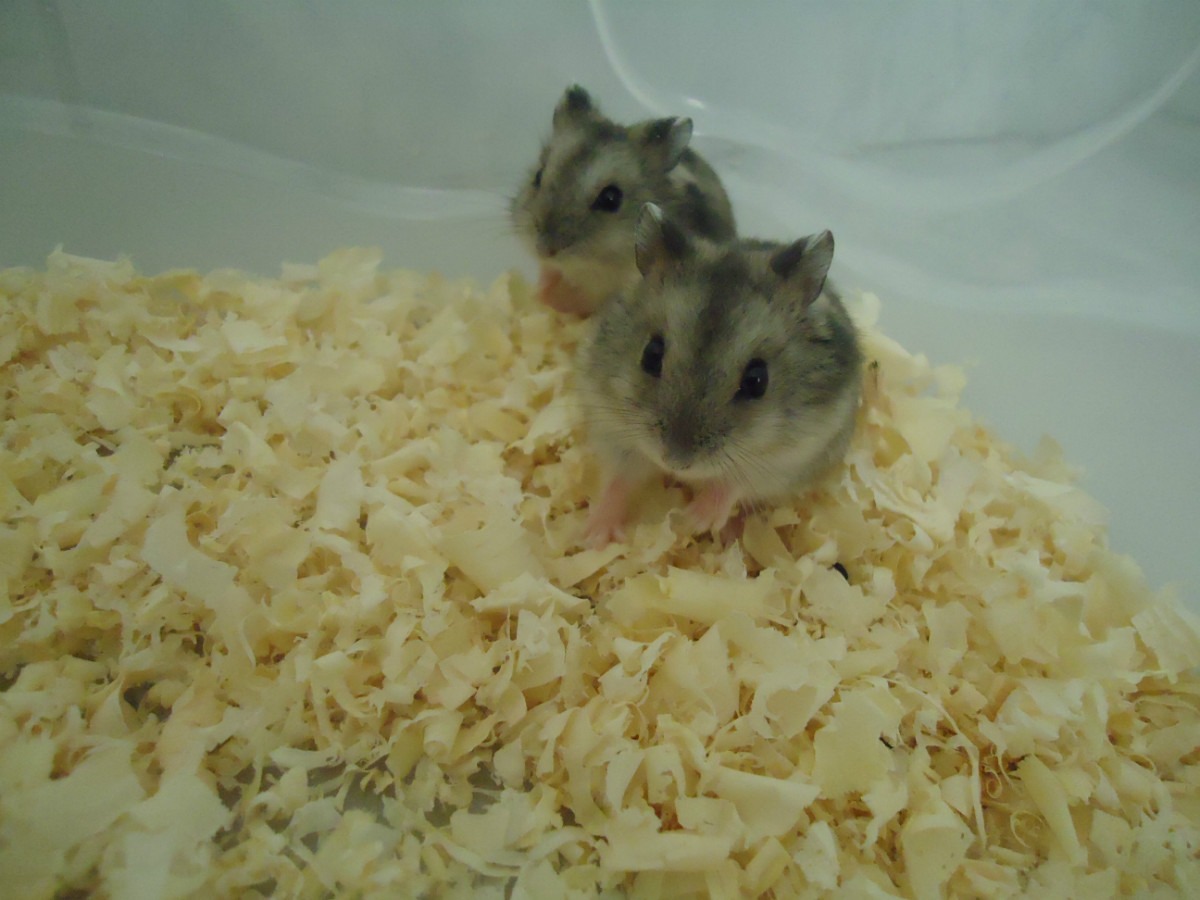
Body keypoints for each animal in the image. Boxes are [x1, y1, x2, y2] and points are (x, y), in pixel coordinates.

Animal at [576, 203, 862, 548]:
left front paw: (693, 519)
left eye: (757, 381)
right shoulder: (612, 427)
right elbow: (619, 479)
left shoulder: (788, 459)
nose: (676, 462)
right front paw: (593, 537)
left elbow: (732, 483)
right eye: (651, 355)